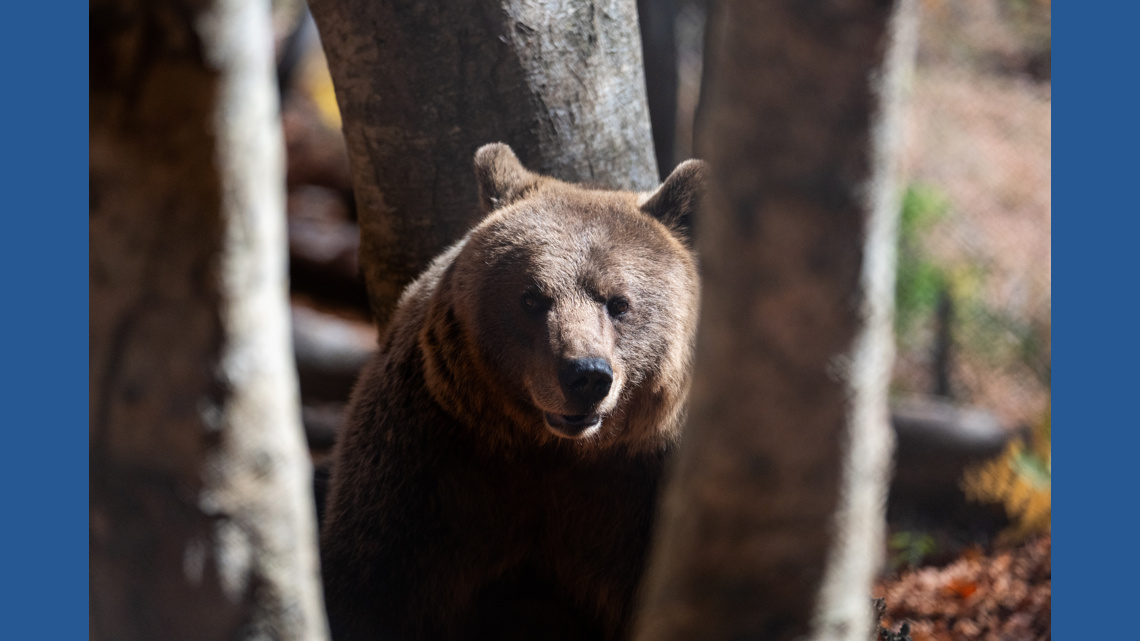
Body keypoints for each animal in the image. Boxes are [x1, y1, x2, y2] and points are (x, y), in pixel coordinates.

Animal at [319, 143, 706, 641]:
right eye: (531, 298)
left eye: (619, 303)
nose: (585, 376)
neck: (553, 450)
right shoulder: (428, 467)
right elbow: (375, 583)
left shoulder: (645, 488)